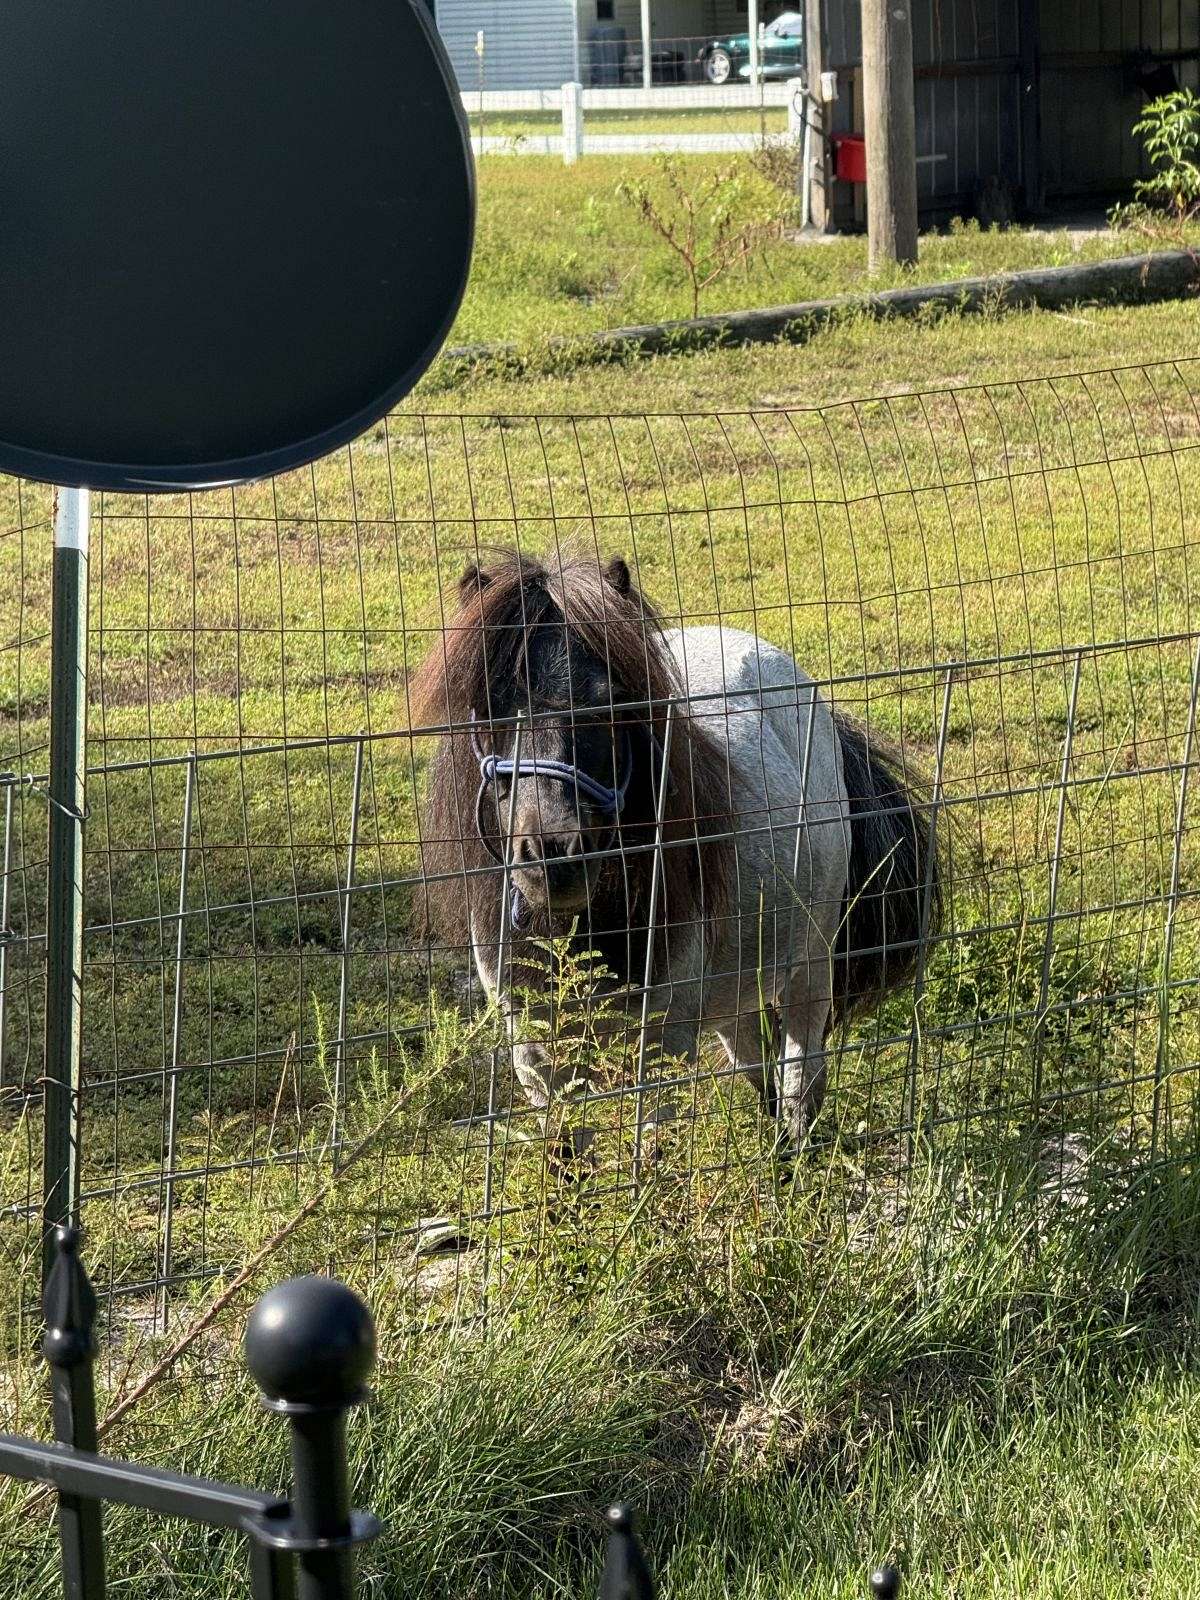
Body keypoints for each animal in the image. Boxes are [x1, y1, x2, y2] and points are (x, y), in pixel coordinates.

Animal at [410, 547, 940, 1160]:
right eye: (487, 707)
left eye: (610, 701)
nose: (552, 856)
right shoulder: (535, 1050)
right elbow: (568, 1152)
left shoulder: (663, 1041)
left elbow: (653, 1149)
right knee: (754, 1062)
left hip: (810, 963)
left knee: (799, 1079)